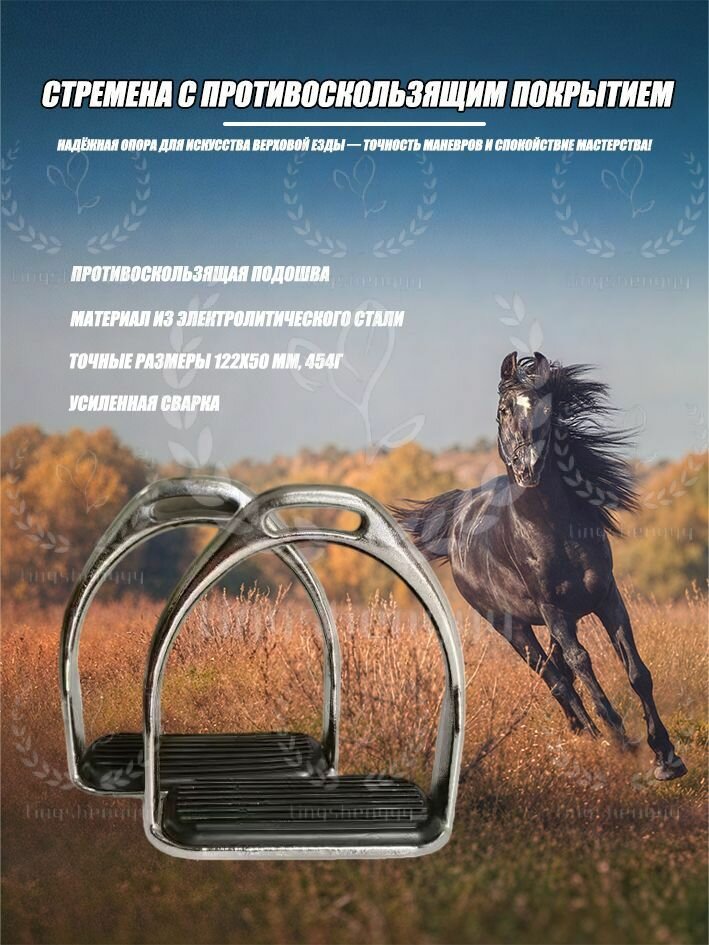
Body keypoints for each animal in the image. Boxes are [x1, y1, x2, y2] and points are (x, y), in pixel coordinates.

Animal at [394, 351, 687, 781]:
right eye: (503, 409)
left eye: (546, 411)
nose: (527, 469)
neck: (551, 526)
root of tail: (459, 513)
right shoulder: (552, 611)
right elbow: (583, 663)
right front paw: (625, 742)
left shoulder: (607, 597)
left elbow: (636, 670)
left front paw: (667, 757)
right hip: (512, 627)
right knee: (555, 678)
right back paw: (597, 740)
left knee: (559, 671)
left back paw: (584, 732)